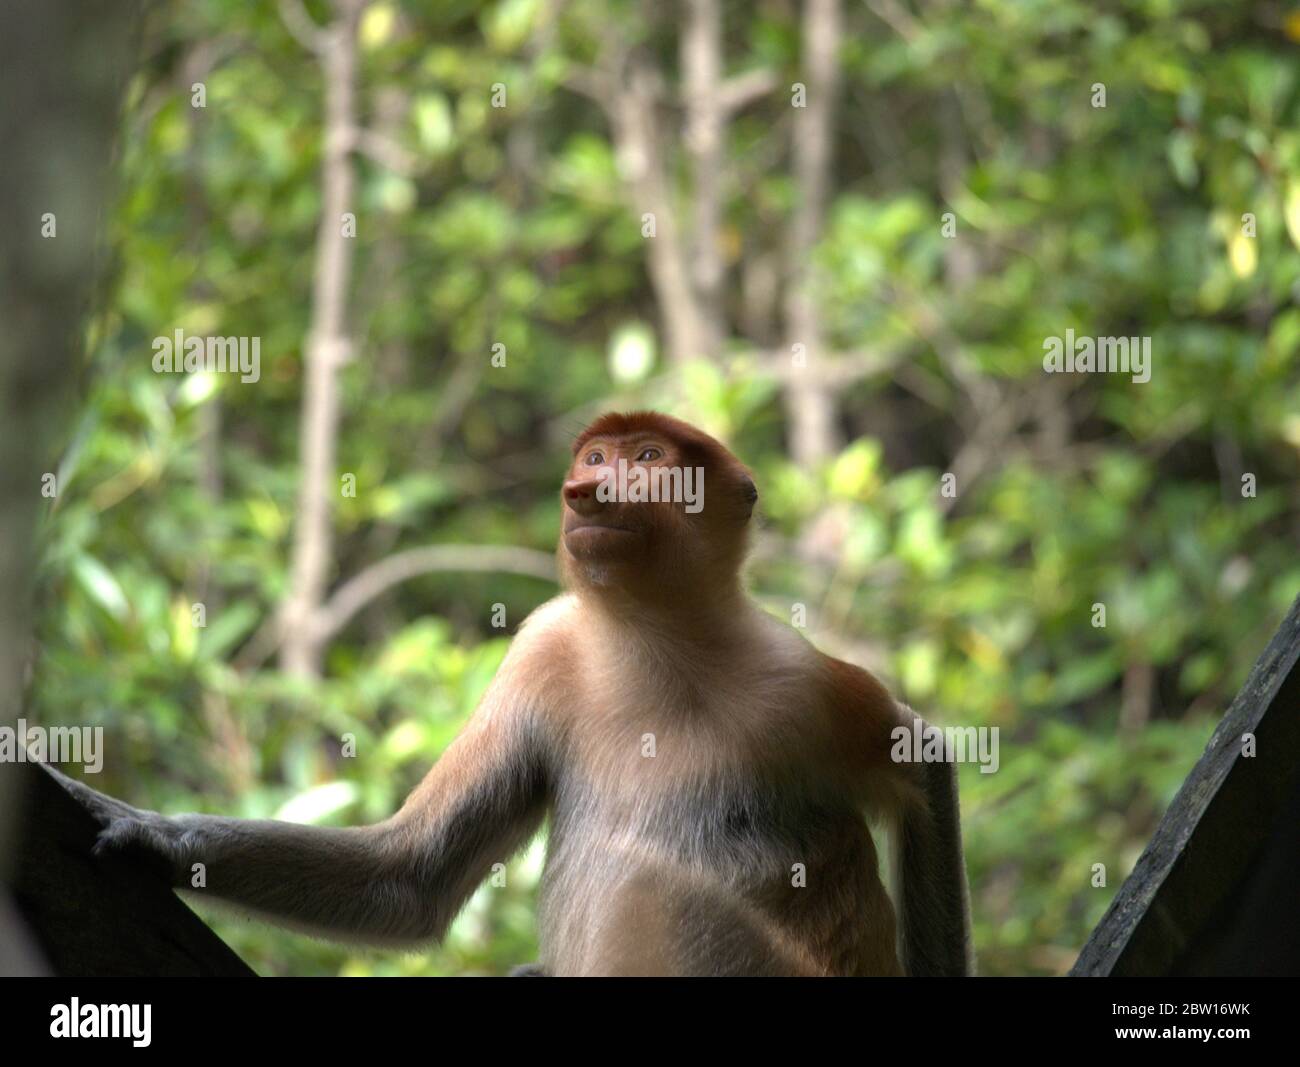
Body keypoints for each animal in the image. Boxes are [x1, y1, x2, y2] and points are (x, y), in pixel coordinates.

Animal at [50, 411, 973, 976]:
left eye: (648, 459)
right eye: (594, 457)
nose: (585, 492)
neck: (658, 640)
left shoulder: (802, 679)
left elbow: (921, 757)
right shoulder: (544, 652)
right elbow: (411, 876)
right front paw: (140, 828)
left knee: (655, 884)